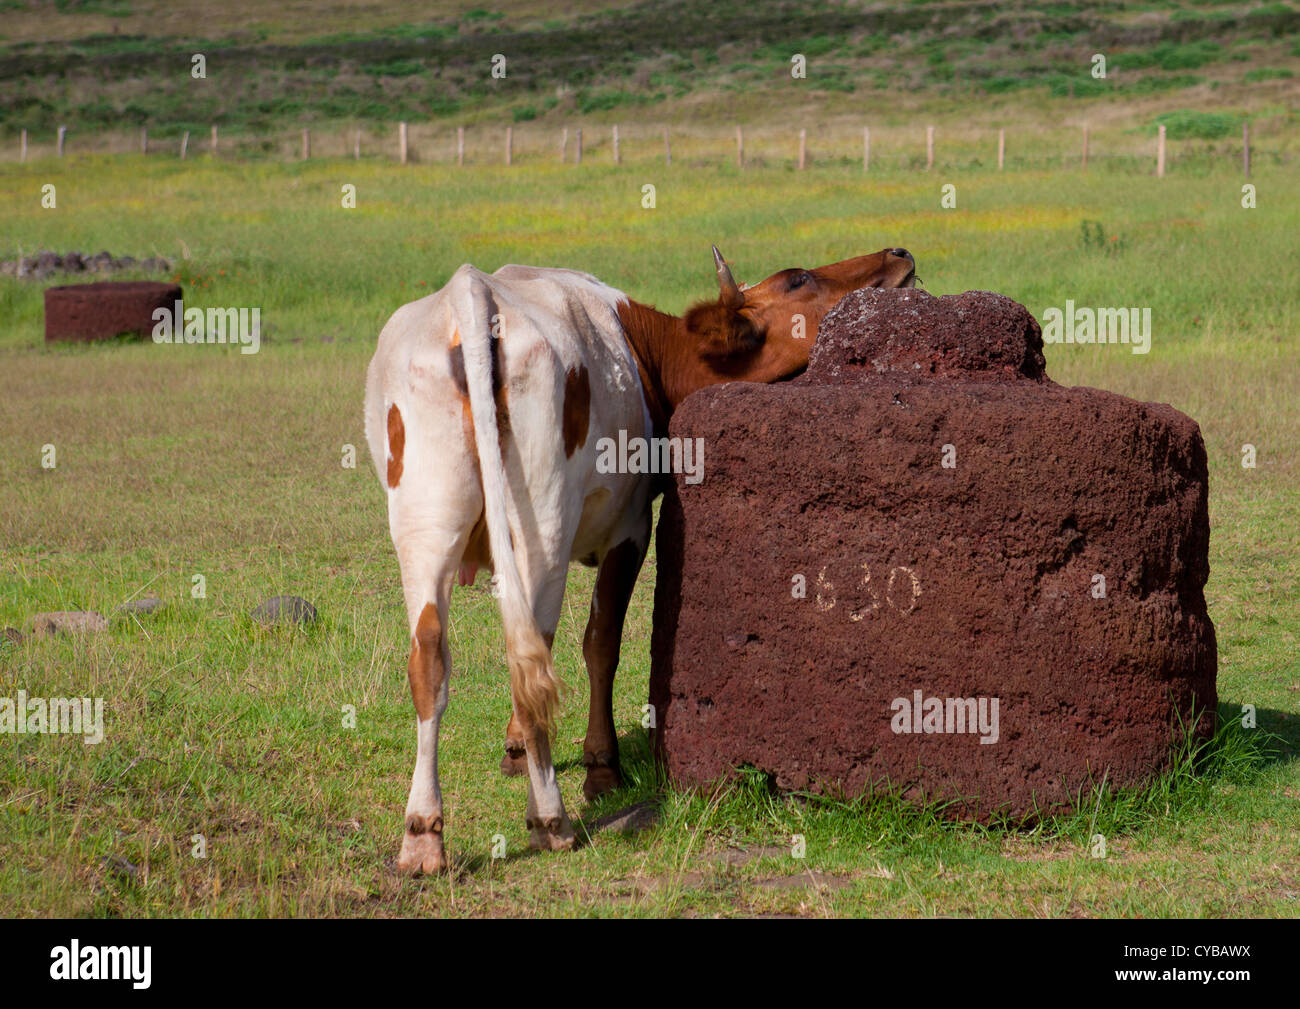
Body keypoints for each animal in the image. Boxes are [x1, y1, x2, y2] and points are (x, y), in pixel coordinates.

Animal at [364, 246, 917, 873]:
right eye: (799, 279)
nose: (897, 253)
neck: (648, 350)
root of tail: (471, 292)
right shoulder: (631, 526)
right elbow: (600, 644)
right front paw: (601, 767)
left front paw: (515, 745)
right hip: (543, 520)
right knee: (531, 649)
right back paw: (549, 818)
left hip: (424, 523)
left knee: (433, 660)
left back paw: (422, 834)